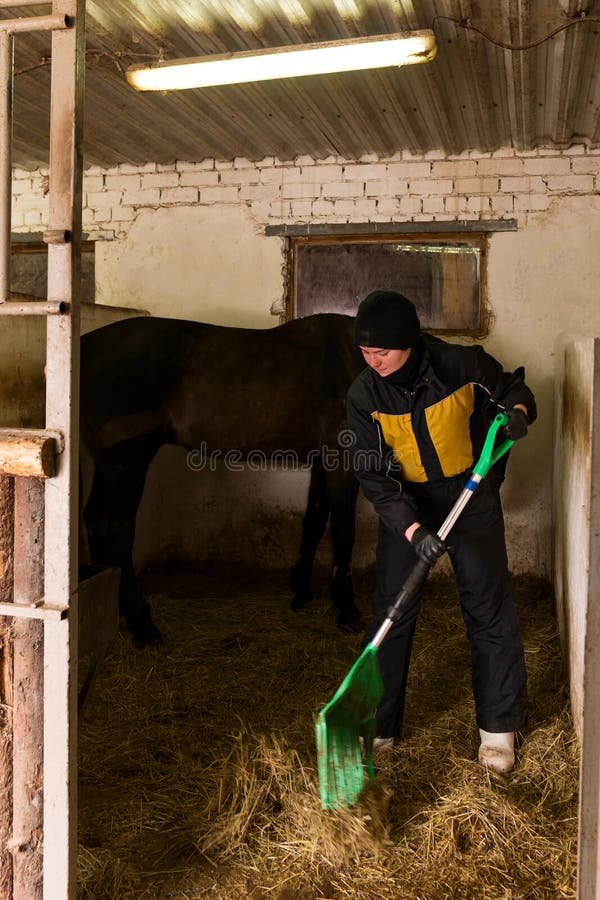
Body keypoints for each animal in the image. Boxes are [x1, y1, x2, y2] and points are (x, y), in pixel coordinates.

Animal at [80, 312, 365, 647]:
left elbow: (315, 522)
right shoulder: (343, 461)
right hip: (126, 460)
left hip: (112, 464)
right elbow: (343, 530)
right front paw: (347, 609)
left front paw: (302, 591)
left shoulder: (323, 463)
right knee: (114, 528)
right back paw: (144, 626)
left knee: (96, 522)